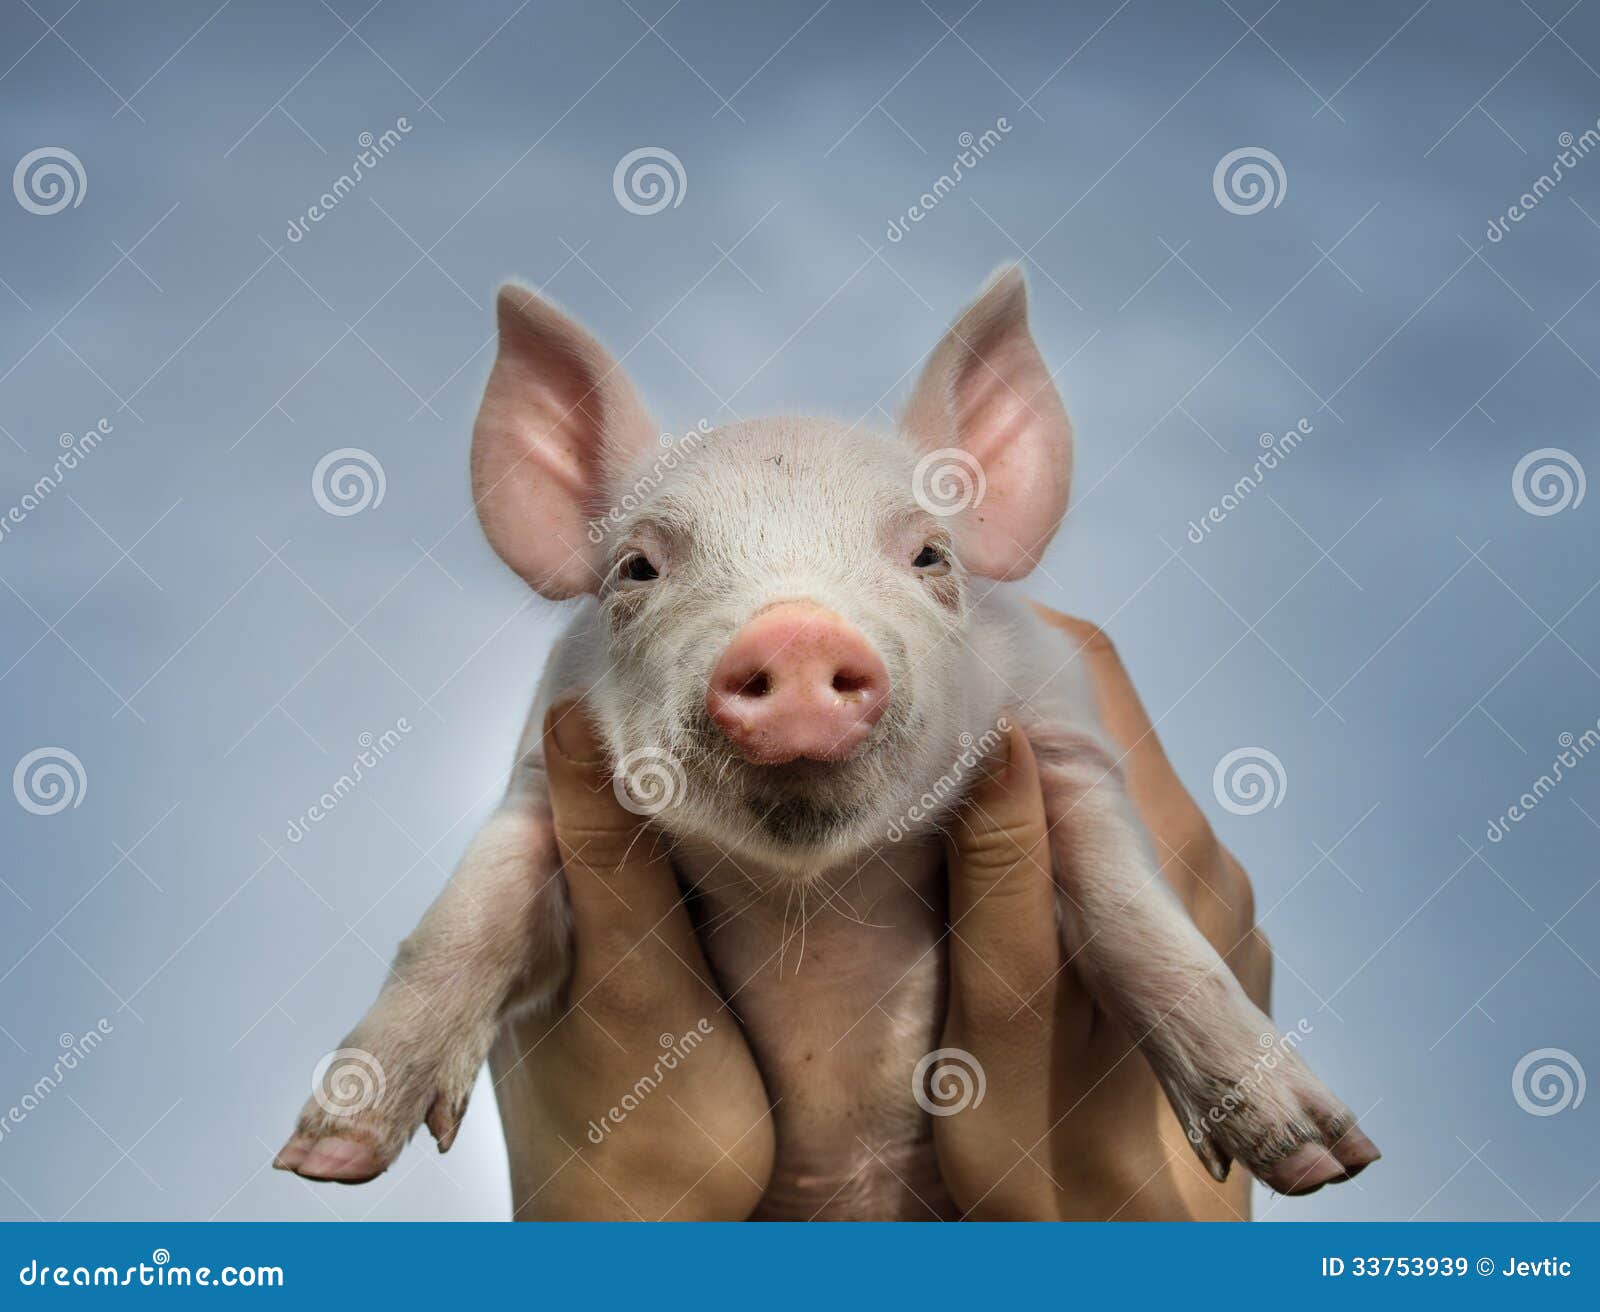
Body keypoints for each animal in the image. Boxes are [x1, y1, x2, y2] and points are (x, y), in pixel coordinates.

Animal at [274, 268, 1379, 1218]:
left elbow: (1136, 915)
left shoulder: (1068, 741)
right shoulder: (542, 773)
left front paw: (1325, 1157)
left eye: (929, 554)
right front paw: (325, 1154)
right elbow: (464, 919)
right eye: (637, 566)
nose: (797, 633)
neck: (816, 901)